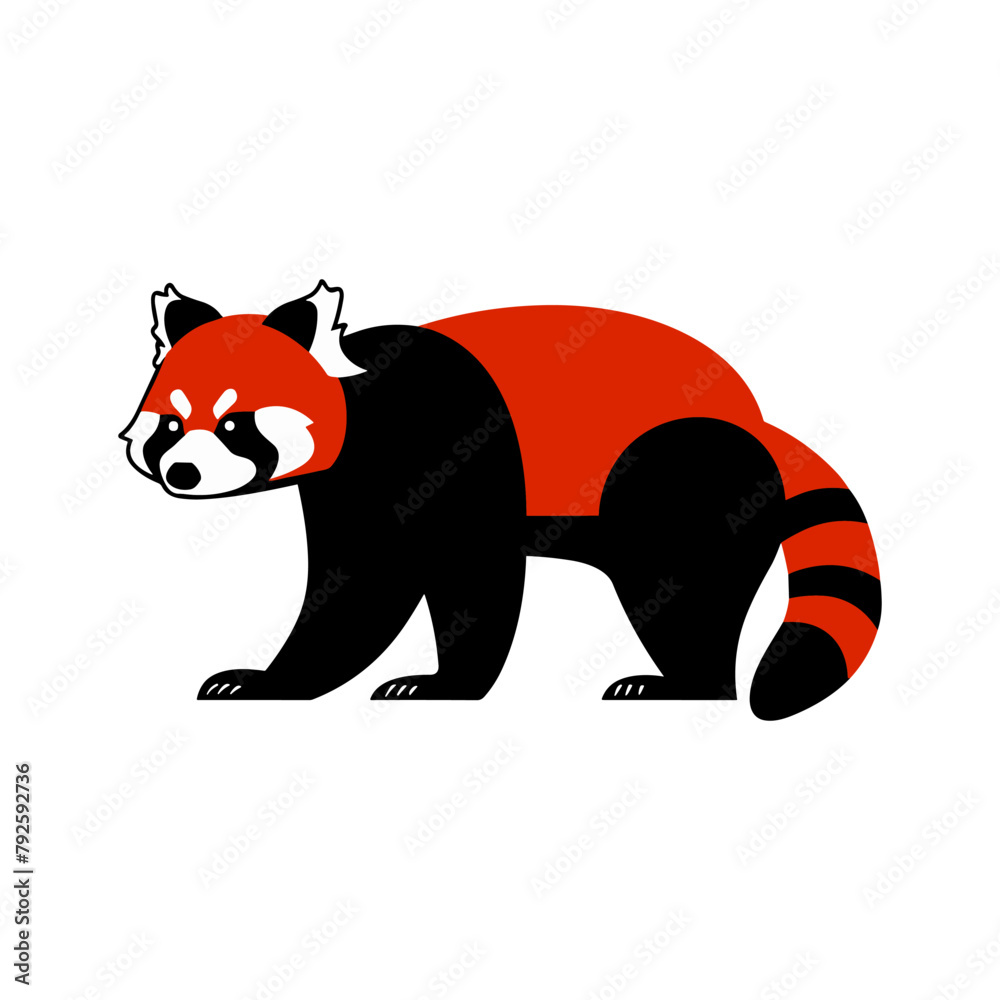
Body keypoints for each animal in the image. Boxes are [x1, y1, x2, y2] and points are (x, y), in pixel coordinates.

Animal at [121, 280, 881, 719]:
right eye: (169, 425)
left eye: (234, 424)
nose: (182, 472)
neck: (359, 408)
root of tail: (759, 420)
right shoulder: (346, 485)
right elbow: (359, 585)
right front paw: (279, 680)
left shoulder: (456, 440)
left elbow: (467, 575)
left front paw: (446, 685)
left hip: (687, 473)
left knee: (678, 585)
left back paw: (691, 684)